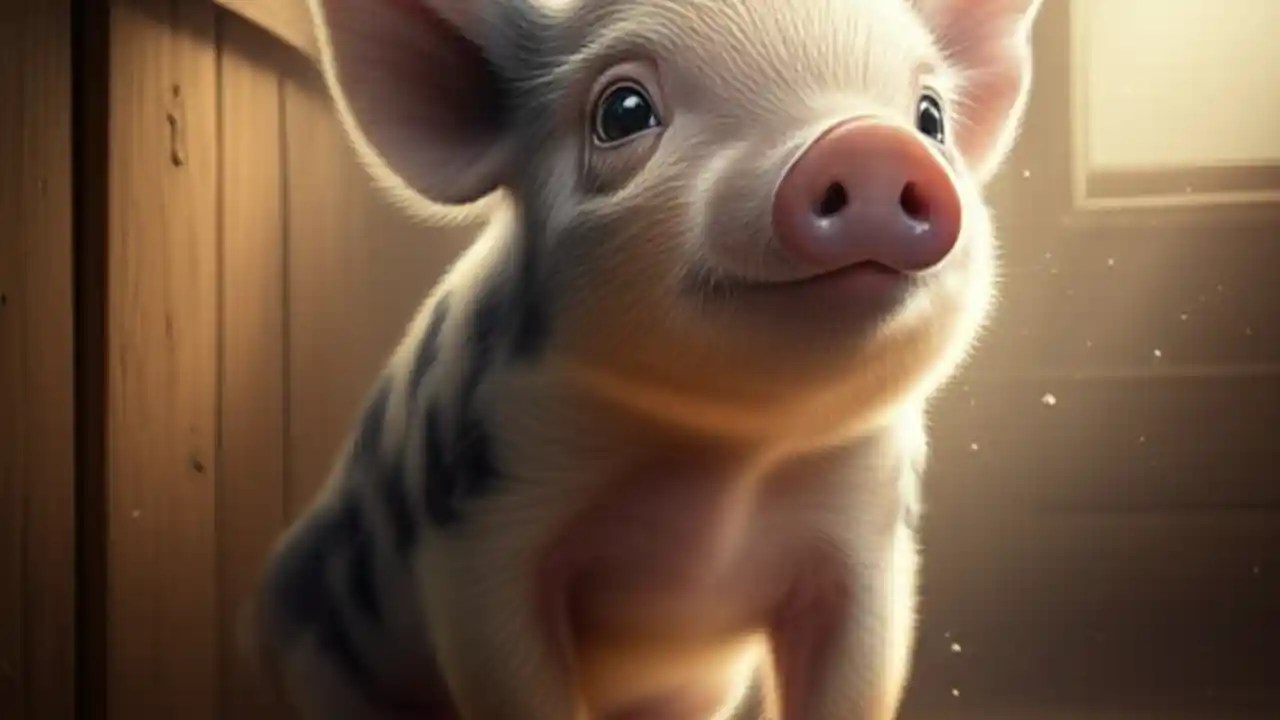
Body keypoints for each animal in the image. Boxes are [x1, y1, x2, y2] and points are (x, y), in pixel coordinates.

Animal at [249, 0, 1044, 718]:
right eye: (623, 111)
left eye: (930, 118)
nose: (870, 144)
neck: (726, 457)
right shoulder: (478, 530)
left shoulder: (872, 540)